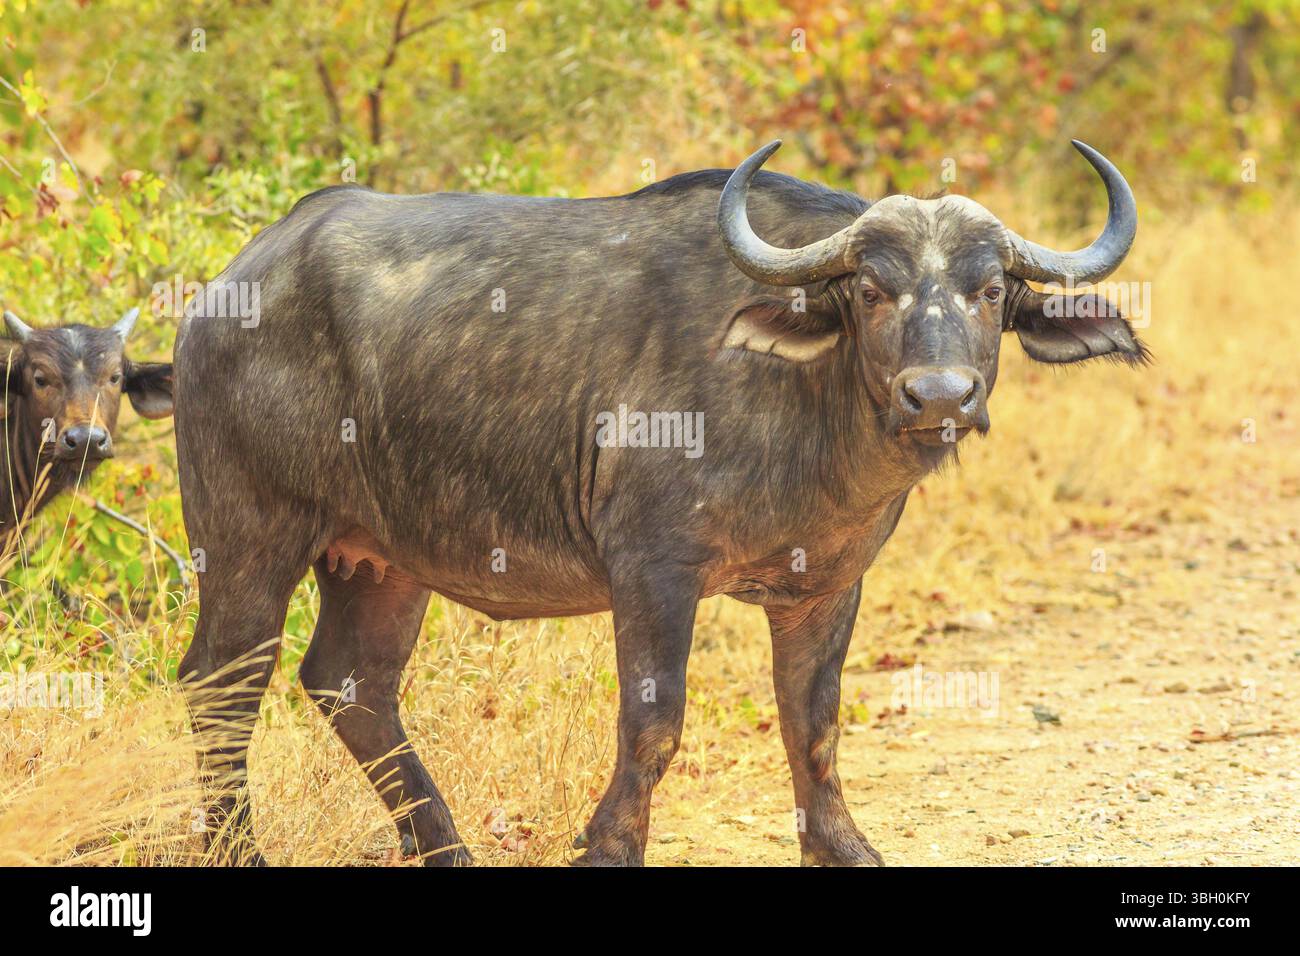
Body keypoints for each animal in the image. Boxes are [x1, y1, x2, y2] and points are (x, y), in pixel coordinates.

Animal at [175, 139, 1143, 866]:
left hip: (381, 559)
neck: (805, 401)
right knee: (221, 685)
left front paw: (843, 848)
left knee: (352, 684)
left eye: (991, 291)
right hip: (249, 537)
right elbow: (653, 724)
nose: (938, 396)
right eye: (872, 290)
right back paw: (243, 851)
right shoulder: (652, 571)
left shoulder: (828, 585)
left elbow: (814, 725)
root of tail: (232, 284)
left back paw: (445, 849)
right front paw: (608, 846)